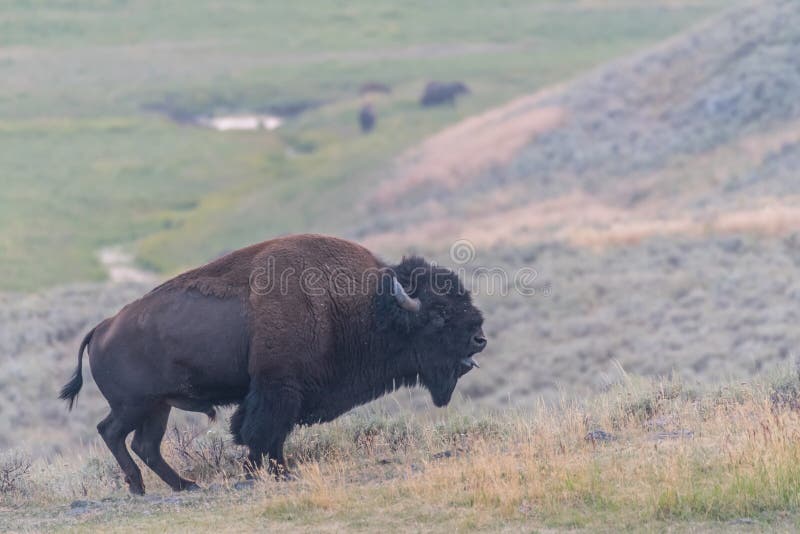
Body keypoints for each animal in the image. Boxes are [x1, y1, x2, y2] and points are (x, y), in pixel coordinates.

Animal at [60, 234, 486, 495]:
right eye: (439, 314)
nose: (479, 338)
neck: (361, 303)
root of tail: (101, 328)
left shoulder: (286, 393)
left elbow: (272, 434)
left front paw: (276, 469)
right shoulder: (277, 387)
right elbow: (261, 431)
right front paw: (269, 471)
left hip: (157, 408)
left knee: (144, 444)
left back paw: (185, 485)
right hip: (135, 405)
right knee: (112, 433)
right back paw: (138, 486)